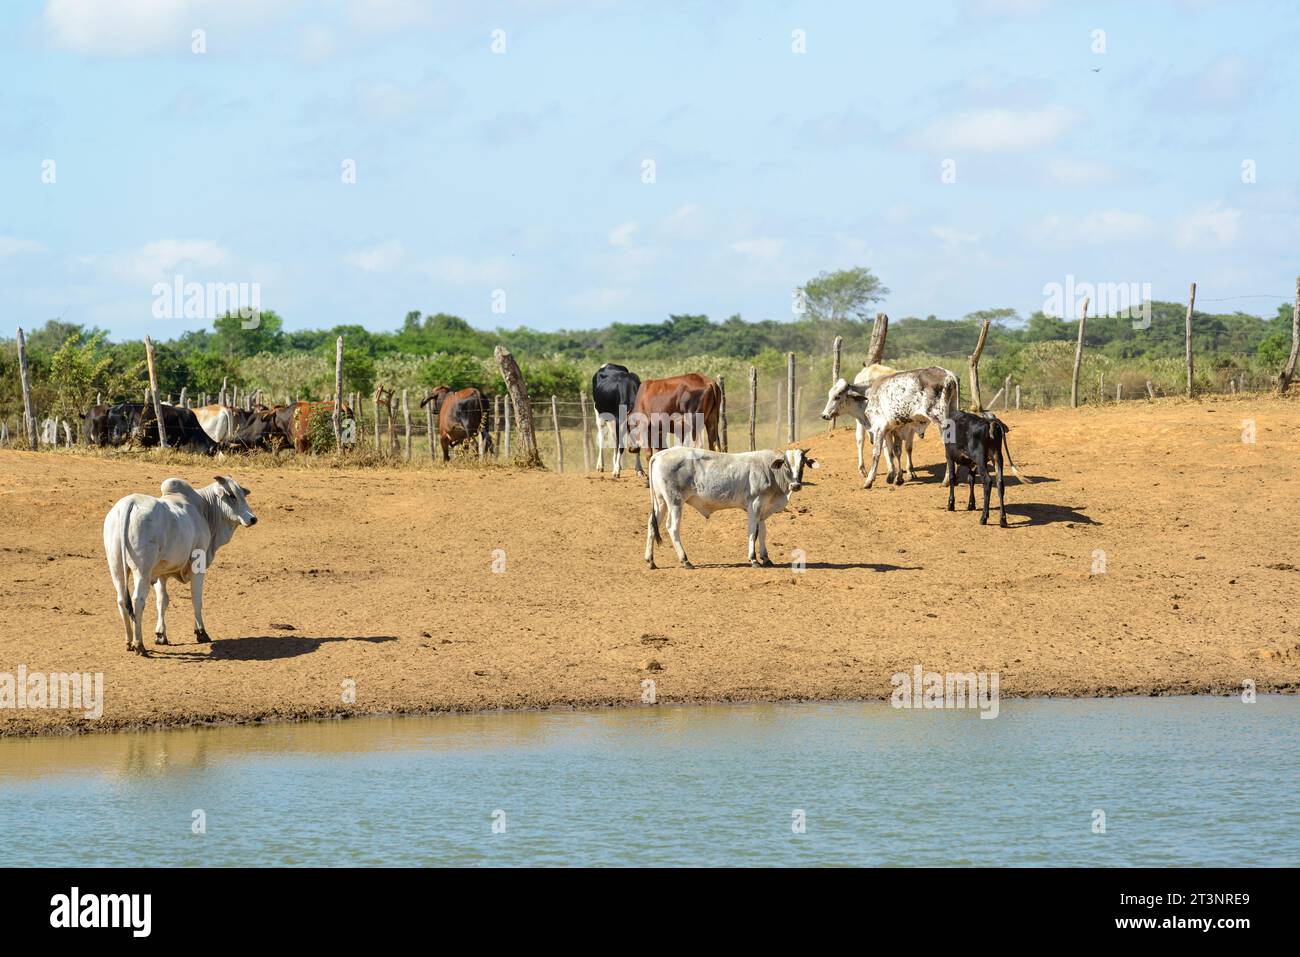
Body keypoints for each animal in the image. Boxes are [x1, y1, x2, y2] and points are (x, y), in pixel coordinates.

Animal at [103, 475, 257, 655]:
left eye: (242, 494)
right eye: (232, 495)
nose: (253, 519)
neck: (203, 508)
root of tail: (129, 503)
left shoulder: (160, 573)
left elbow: (162, 601)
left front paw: (160, 635)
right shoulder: (198, 563)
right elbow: (196, 598)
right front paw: (201, 632)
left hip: (116, 567)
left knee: (121, 600)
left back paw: (128, 642)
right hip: (142, 571)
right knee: (137, 600)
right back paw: (139, 645)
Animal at [645, 446, 817, 569]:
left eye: (802, 464)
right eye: (786, 464)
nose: (795, 485)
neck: (770, 471)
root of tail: (659, 455)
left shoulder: (763, 509)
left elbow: (763, 532)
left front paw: (766, 558)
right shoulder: (754, 505)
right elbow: (753, 532)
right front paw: (753, 559)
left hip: (660, 502)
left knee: (652, 525)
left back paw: (650, 561)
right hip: (675, 502)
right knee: (672, 527)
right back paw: (685, 560)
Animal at [820, 367, 959, 489]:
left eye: (837, 396)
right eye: (829, 395)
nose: (824, 415)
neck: (869, 394)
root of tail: (949, 375)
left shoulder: (879, 428)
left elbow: (877, 453)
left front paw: (869, 481)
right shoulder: (891, 429)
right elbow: (893, 451)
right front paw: (896, 477)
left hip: (940, 420)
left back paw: (946, 480)